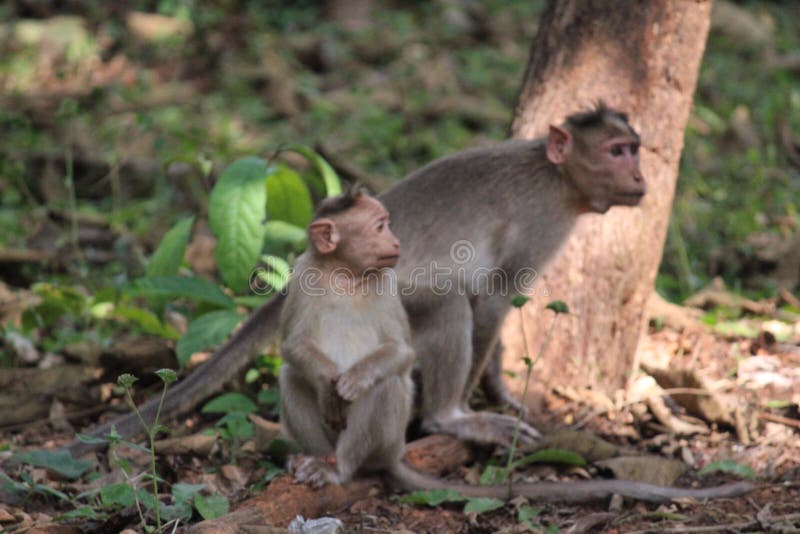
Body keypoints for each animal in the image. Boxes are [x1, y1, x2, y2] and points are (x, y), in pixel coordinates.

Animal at [280, 189, 753, 503]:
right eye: (379, 226)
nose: (395, 243)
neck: (345, 274)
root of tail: (395, 453)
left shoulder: (386, 283)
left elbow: (399, 352)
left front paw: (351, 381)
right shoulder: (303, 275)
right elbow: (291, 347)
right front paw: (330, 381)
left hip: (386, 441)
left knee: (386, 385)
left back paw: (342, 468)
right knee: (293, 378)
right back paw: (317, 459)